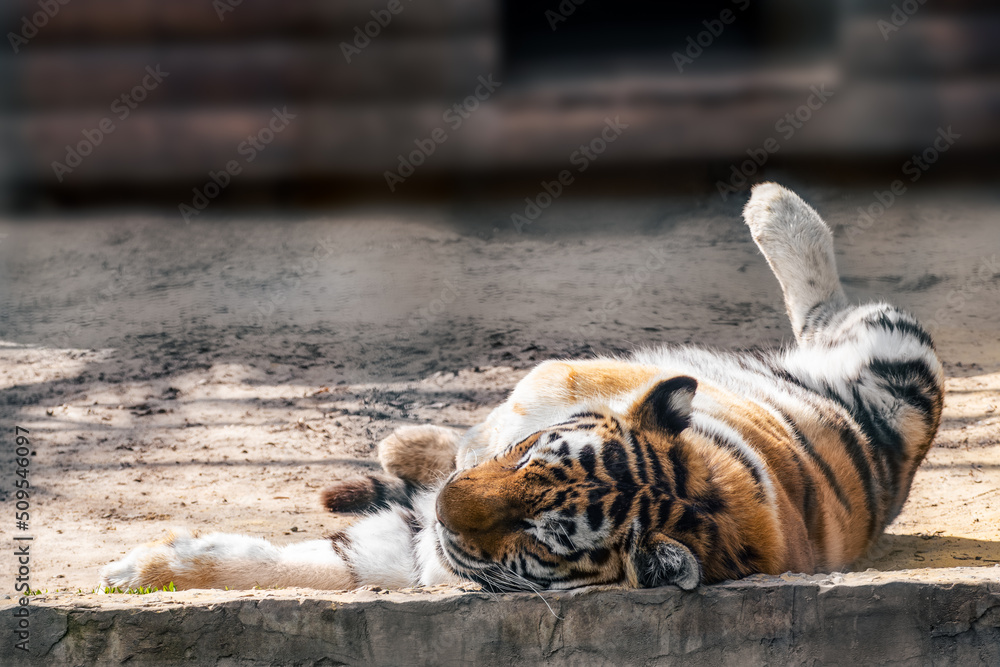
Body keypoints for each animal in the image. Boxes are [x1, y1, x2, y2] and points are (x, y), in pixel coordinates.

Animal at [99, 183, 944, 592]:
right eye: (534, 458)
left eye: (540, 536)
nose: (446, 506)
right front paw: (137, 571)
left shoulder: (415, 552)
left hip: (899, 353)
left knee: (826, 301)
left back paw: (771, 203)